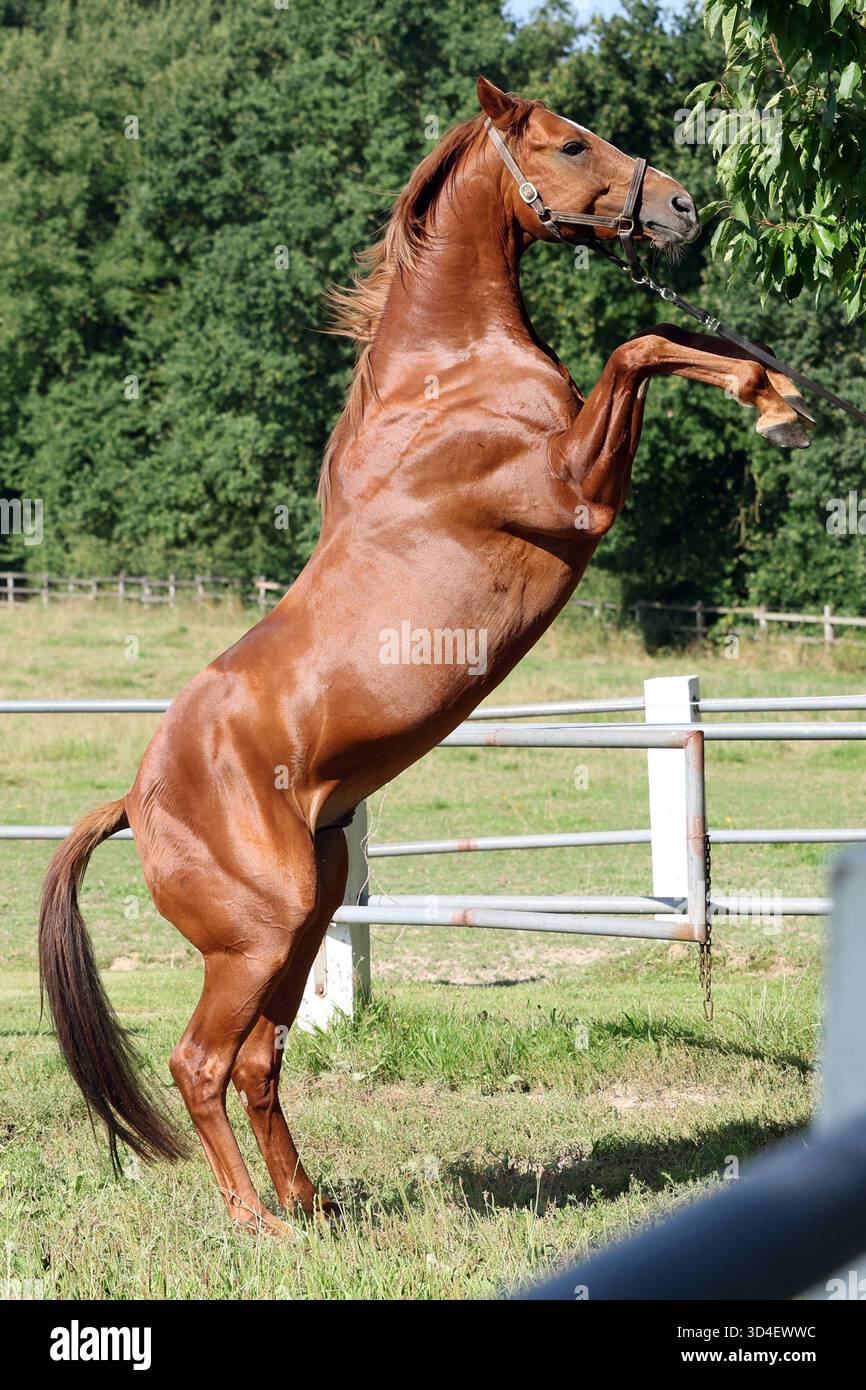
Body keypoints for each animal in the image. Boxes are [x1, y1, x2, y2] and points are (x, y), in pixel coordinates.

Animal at [39, 77, 814, 1234]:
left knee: (260, 1059)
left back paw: (312, 1206)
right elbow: (639, 344)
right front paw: (775, 406)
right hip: (256, 935)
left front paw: (776, 392)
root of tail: (134, 798)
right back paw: (254, 1220)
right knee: (198, 1062)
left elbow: (661, 329)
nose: (681, 208)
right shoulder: (575, 490)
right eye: (568, 142)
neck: (449, 384)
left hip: (307, 915)